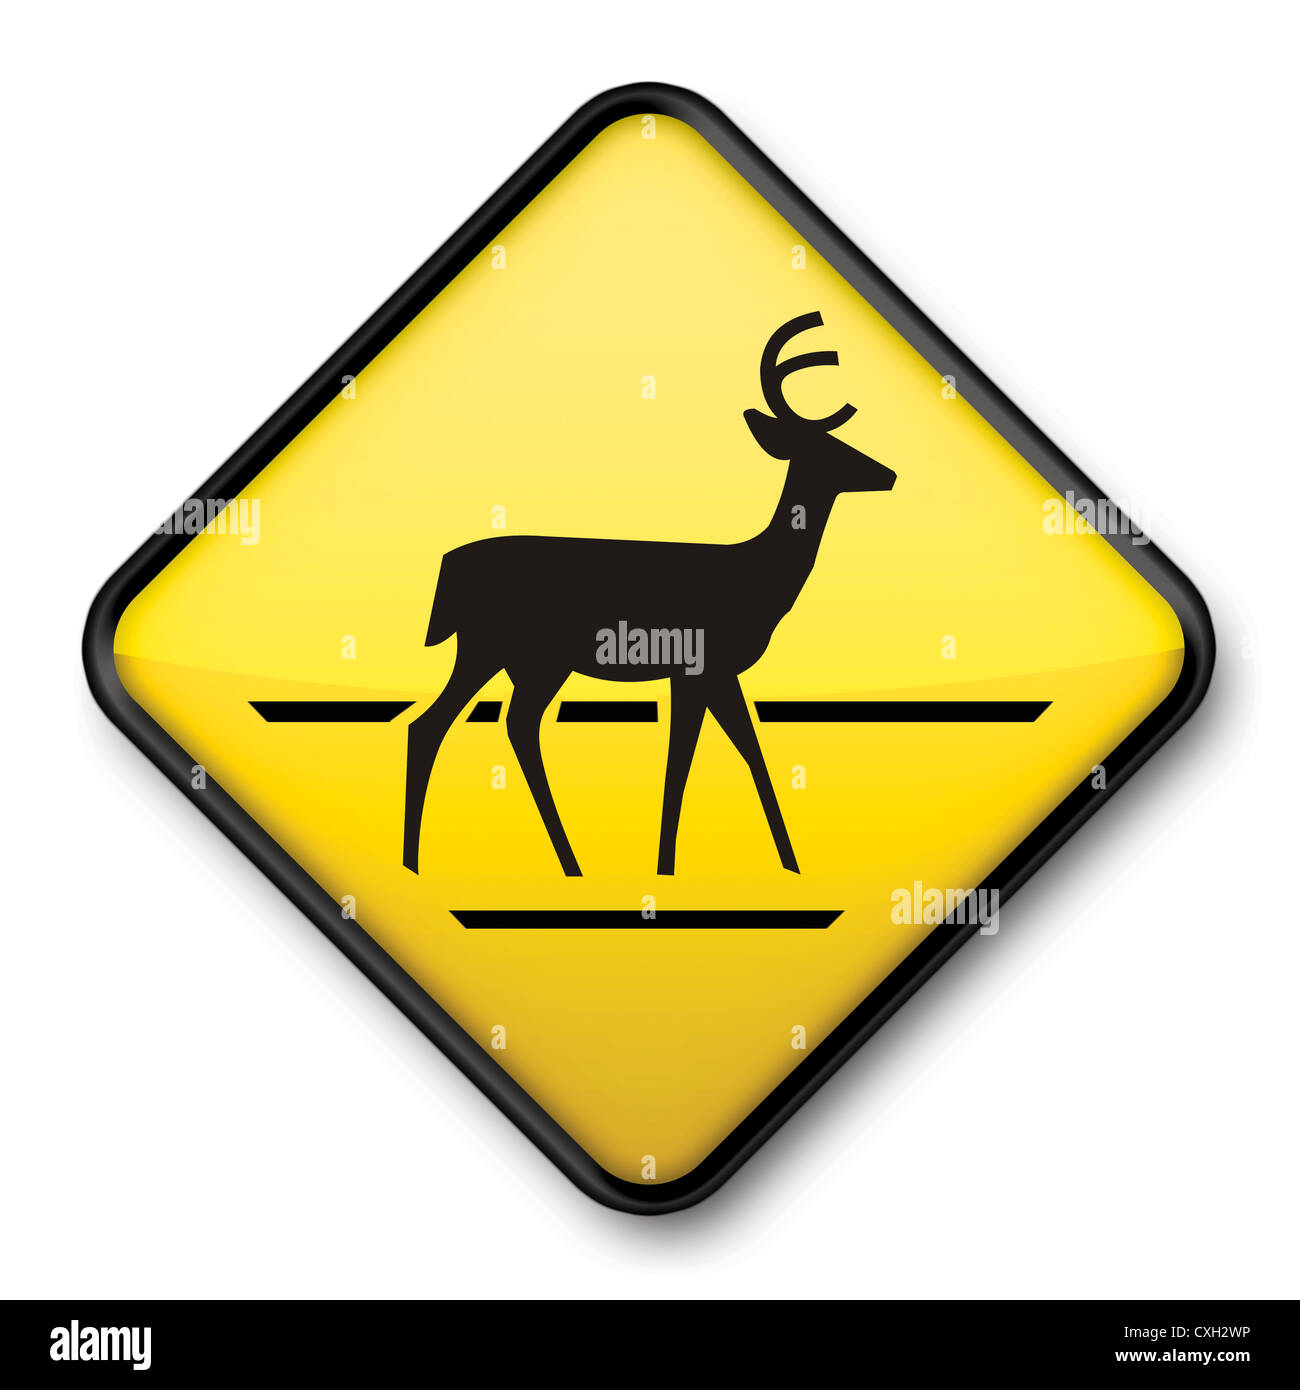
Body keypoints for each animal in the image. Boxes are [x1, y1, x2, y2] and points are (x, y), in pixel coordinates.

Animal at [402, 311, 896, 878]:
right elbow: (682, 761)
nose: (889, 473)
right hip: (506, 647)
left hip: (515, 656)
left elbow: (746, 750)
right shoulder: (697, 664)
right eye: (834, 449)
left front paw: (788, 864)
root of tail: (448, 569)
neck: (760, 580)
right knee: (466, 725)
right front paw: (668, 867)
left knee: (485, 725)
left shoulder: (717, 672)